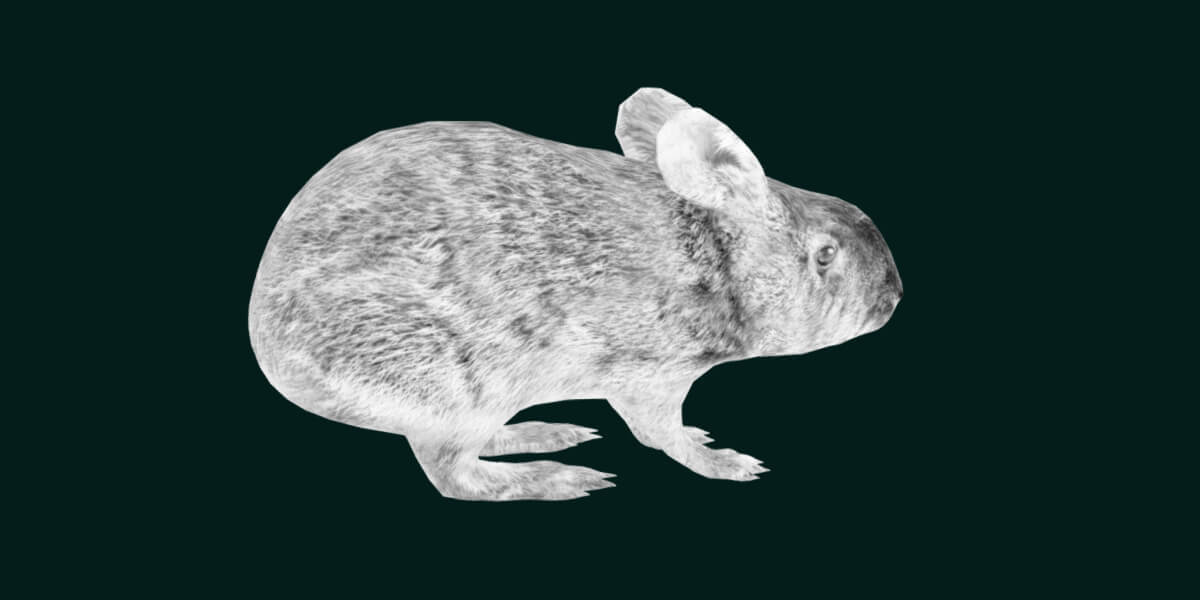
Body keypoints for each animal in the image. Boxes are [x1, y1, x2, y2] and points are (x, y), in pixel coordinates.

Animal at [248, 88, 902, 501]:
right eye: (825, 255)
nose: (894, 295)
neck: (716, 263)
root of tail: (272, 355)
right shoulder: (650, 376)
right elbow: (658, 434)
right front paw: (727, 464)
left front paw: (705, 442)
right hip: (452, 380)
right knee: (454, 474)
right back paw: (563, 476)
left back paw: (550, 432)